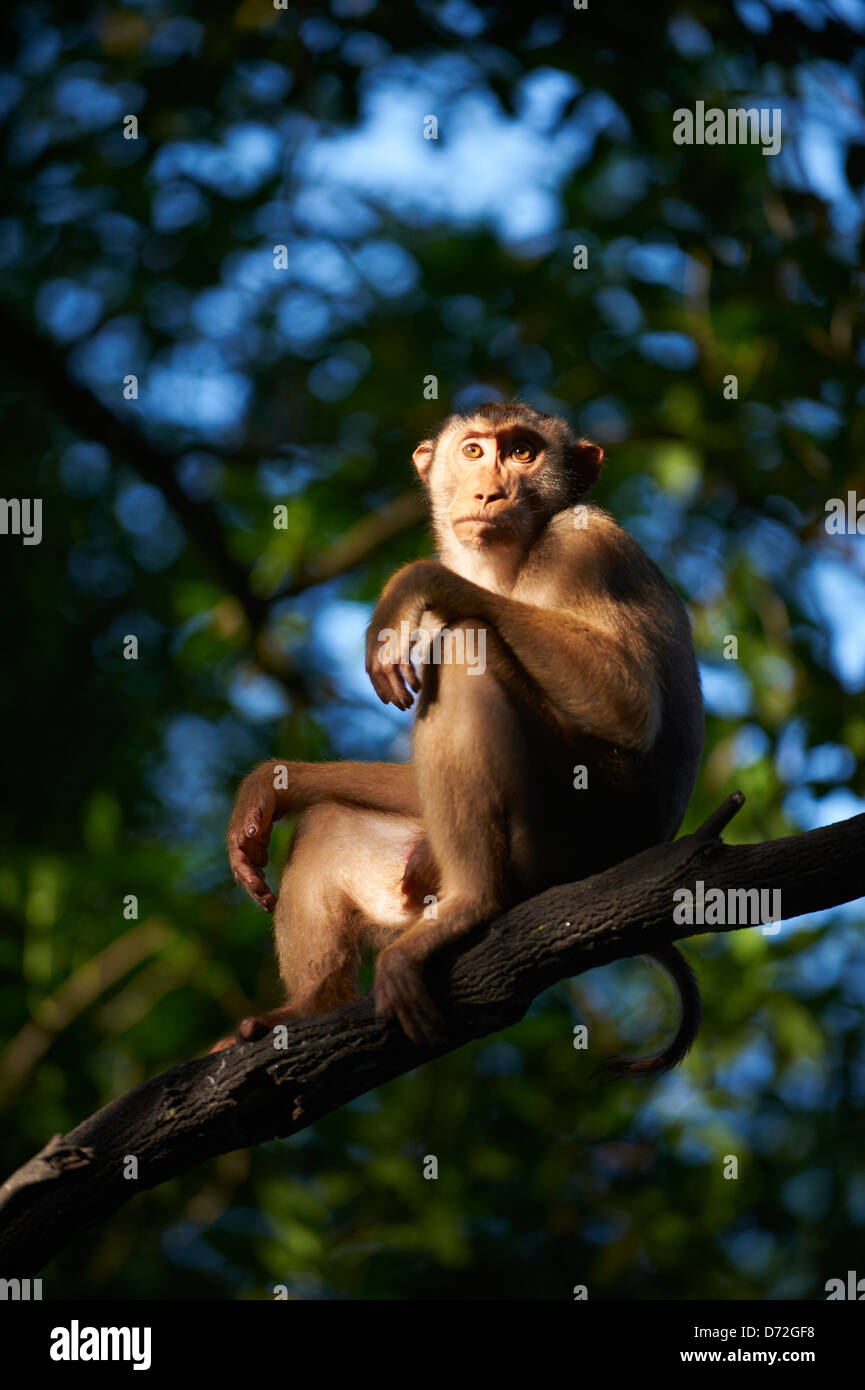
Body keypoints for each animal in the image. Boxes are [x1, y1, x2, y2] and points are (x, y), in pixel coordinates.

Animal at [212, 402, 704, 1074]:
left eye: (522, 453)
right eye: (474, 451)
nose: (488, 491)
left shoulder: (586, 542)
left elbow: (626, 702)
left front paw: (411, 584)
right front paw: (274, 786)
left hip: (566, 838)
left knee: (470, 646)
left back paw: (472, 904)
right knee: (331, 826)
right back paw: (312, 1005)